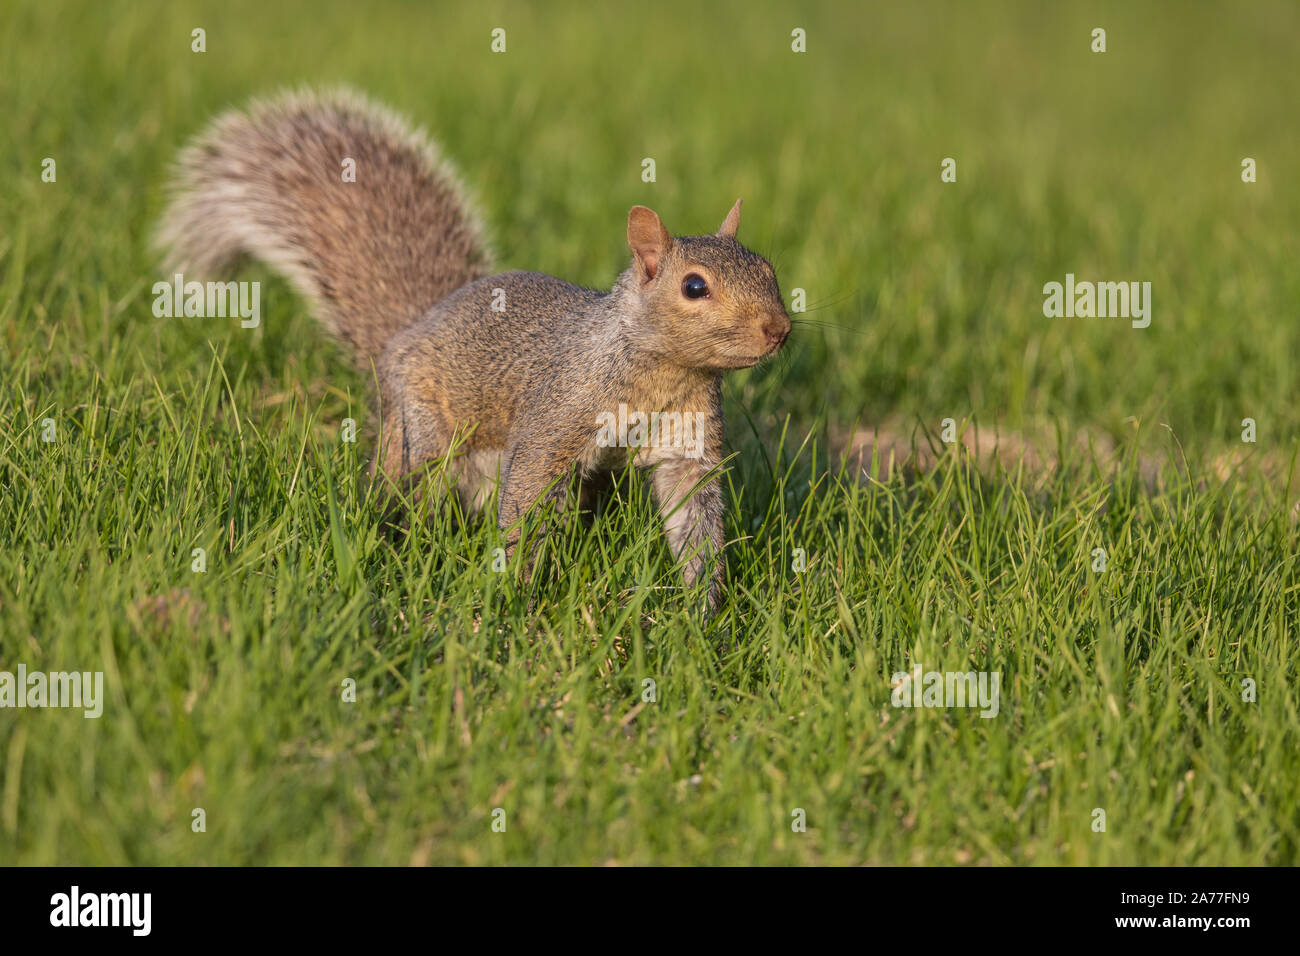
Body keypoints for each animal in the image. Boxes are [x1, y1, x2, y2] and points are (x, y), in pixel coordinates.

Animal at [155, 88, 791, 613]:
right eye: (694, 287)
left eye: (769, 269)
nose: (779, 329)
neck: (662, 372)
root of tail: (405, 333)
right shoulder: (554, 417)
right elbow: (528, 501)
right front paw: (518, 592)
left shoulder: (688, 439)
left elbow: (695, 518)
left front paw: (704, 609)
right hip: (422, 433)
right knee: (403, 487)